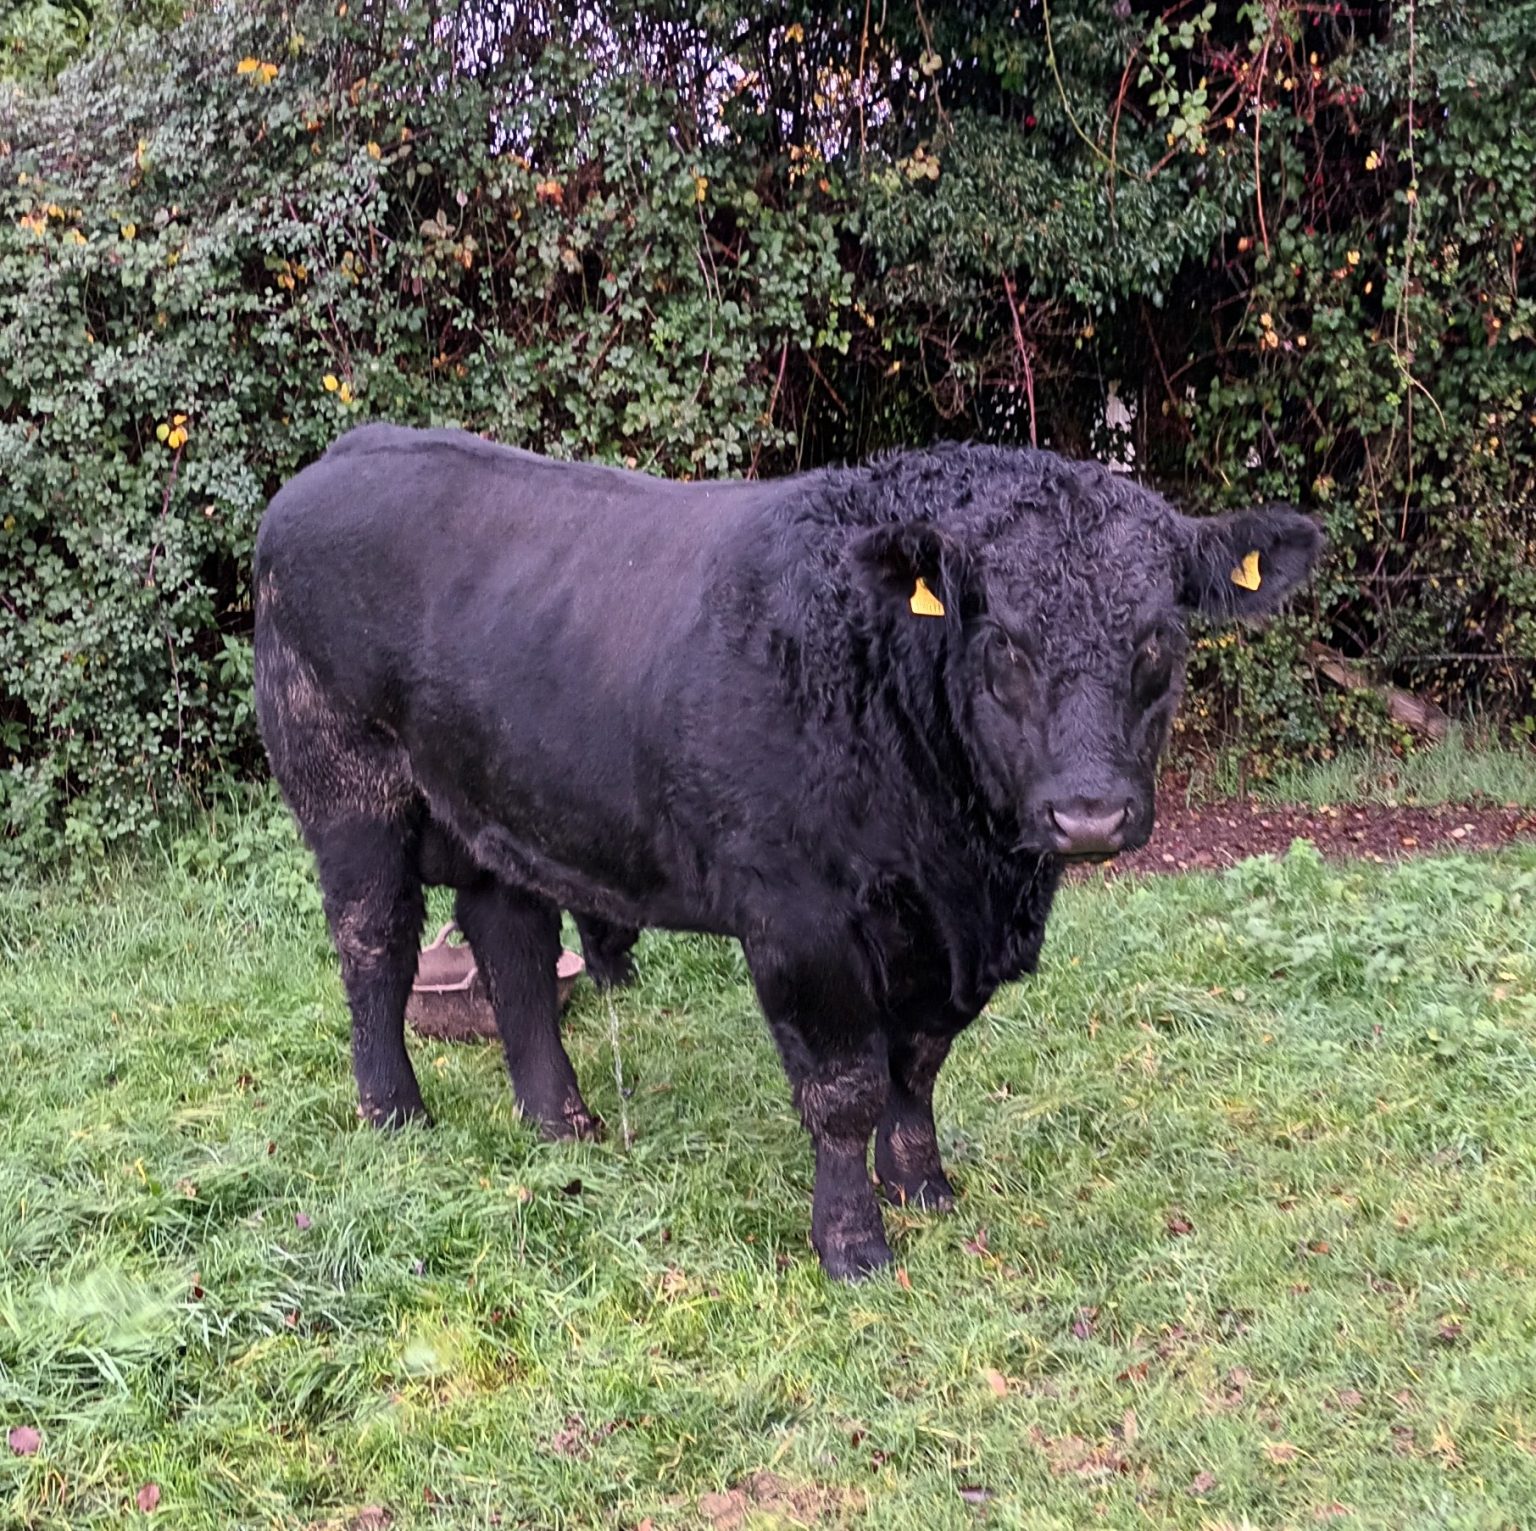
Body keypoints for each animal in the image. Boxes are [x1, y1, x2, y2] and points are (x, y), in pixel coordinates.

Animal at [253, 424, 1322, 1279]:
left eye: (1158, 639)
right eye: (1003, 641)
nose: (1090, 815)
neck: (968, 871)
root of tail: (346, 453)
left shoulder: (934, 941)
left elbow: (917, 1064)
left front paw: (924, 1185)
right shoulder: (802, 918)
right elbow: (844, 1087)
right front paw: (853, 1243)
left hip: (497, 802)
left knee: (511, 946)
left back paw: (564, 1122)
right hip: (348, 793)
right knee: (375, 948)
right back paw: (395, 1114)